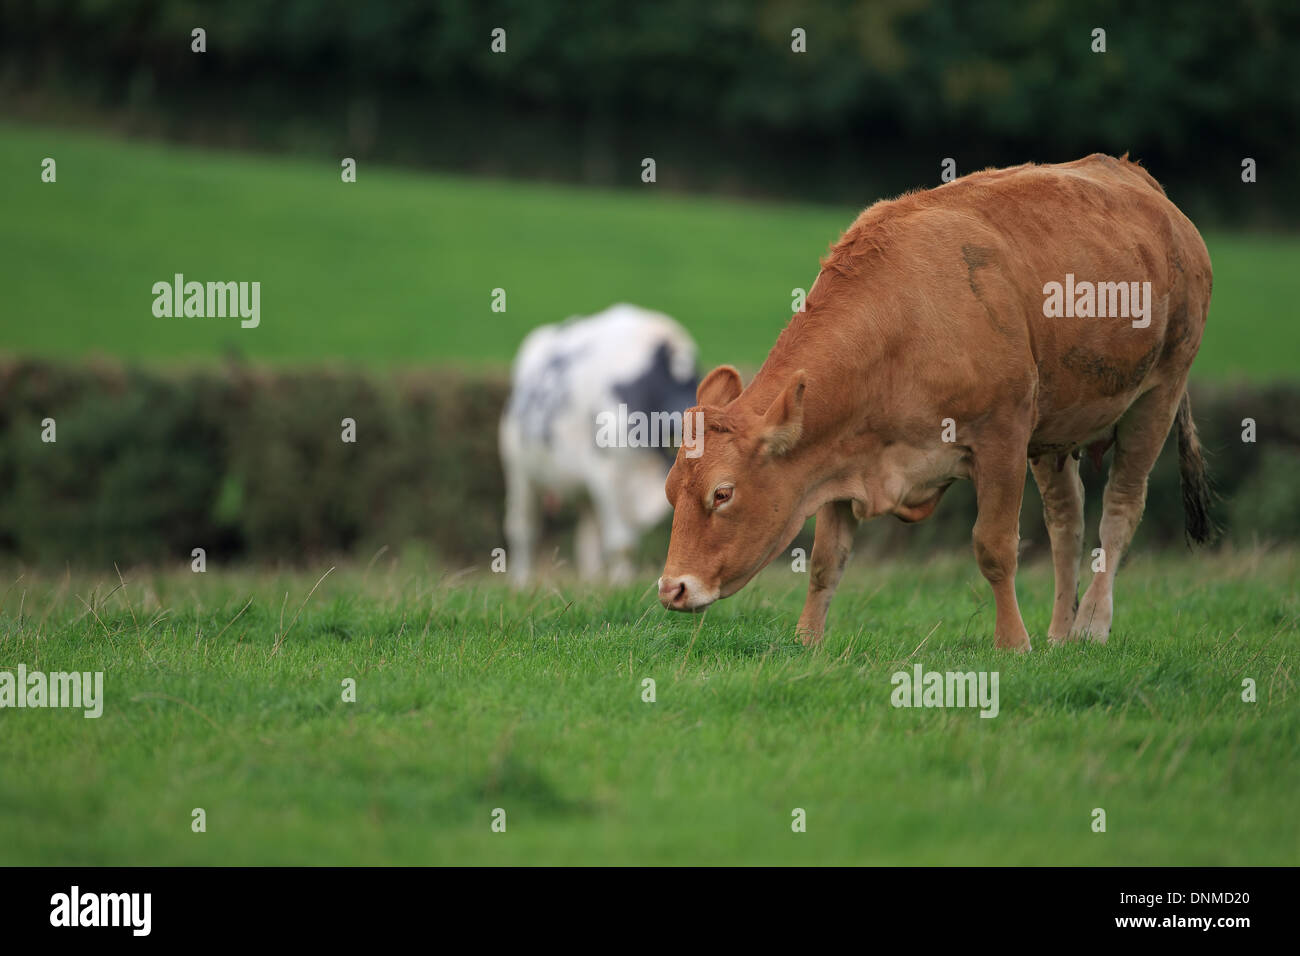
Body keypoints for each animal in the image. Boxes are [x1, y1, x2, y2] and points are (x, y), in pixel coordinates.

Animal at [501, 304, 699, 584]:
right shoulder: (609, 474)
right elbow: (622, 543)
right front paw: (623, 584)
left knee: (587, 537)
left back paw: (591, 581)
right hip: (519, 471)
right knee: (522, 529)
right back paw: (521, 582)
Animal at [657, 154, 1213, 651]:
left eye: (722, 494)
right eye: (670, 492)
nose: (672, 588)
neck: (903, 325)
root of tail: (1139, 180)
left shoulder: (1003, 437)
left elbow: (995, 548)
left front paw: (1013, 643)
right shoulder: (841, 455)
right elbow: (825, 561)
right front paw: (808, 640)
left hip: (1158, 395)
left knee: (1120, 508)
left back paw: (1092, 625)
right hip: (1056, 431)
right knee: (1066, 522)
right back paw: (1060, 632)